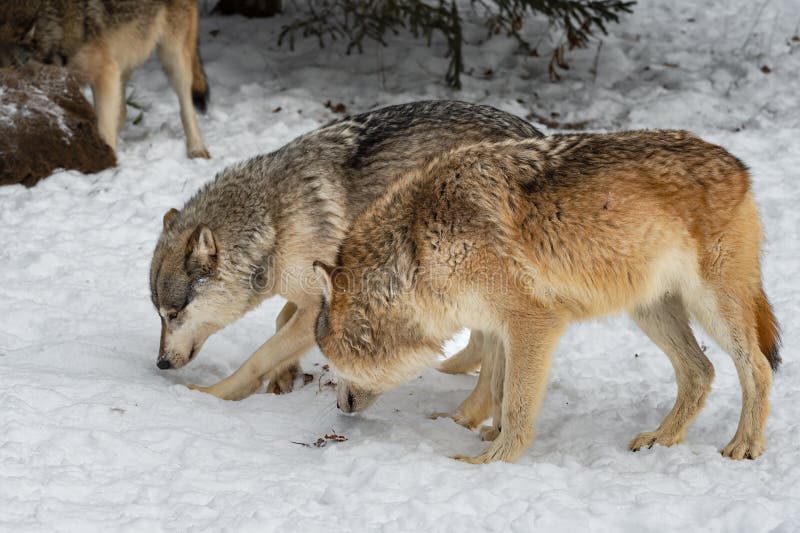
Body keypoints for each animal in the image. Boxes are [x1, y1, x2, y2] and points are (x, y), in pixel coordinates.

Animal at [0, 0, 210, 157]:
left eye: (11, 73)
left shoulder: (105, 72)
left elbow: (103, 127)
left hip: (172, 55)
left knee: (186, 104)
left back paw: (197, 148)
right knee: (123, 110)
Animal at [149, 100, 543, 399]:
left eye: (174, 313)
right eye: (159, 314)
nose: (160, 363)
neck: (274, 221)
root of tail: (536, 133)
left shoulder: (319, 302)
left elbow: (260, 356)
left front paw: (214, 394)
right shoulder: (307, 293)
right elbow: (279, 324)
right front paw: (284, 376)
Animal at [313, 131, 780, 464]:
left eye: (330, 360)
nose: (340, 406)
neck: (416, 249)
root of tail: (738, 165)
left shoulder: (533, 323)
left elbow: (517, 404)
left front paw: (490, 461)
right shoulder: (497, 326)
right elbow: (498, 391)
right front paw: (490, 435)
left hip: (714, 308)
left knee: (757, 367)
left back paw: (744, 446)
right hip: (651, 311)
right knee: (700, 371)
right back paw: (660, 439)